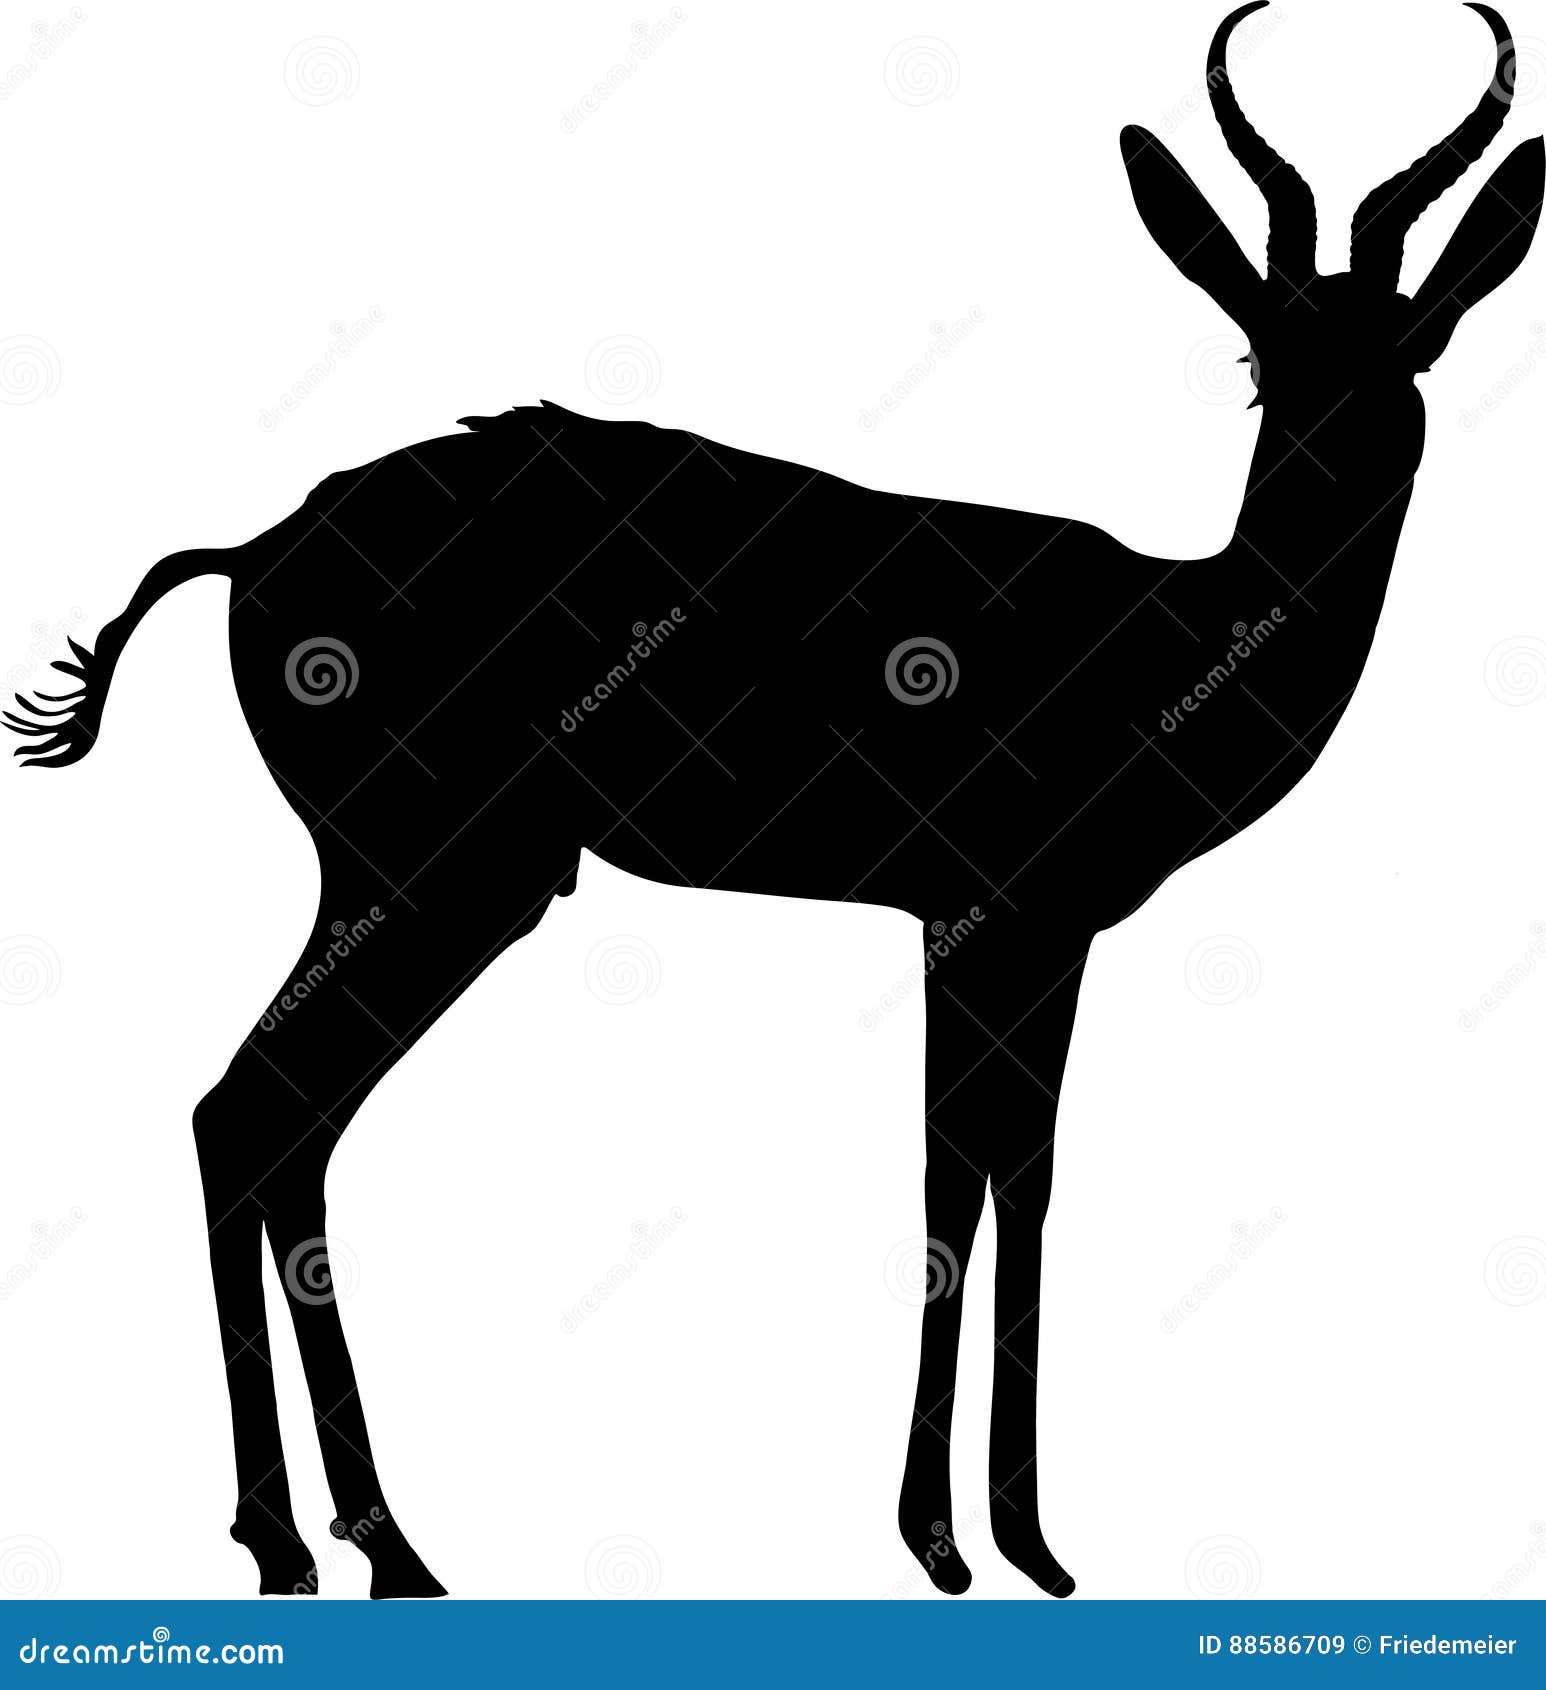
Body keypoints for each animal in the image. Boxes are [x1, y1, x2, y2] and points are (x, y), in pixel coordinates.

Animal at [9, 3, 1540, 1599]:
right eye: (1257, 361)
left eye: (1416, 347)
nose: (1339, 462)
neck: (1172, 637)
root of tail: (255, 547)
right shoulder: (999, 920)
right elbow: (968, 1180)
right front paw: (964, 1543)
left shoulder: (1008, 931)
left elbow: (997, 1176)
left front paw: (1000, 1539)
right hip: (440, 876)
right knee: (252, 1113)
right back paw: (337, 1545)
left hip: (410, 884)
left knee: (267, 1125)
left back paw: (348, 1547)